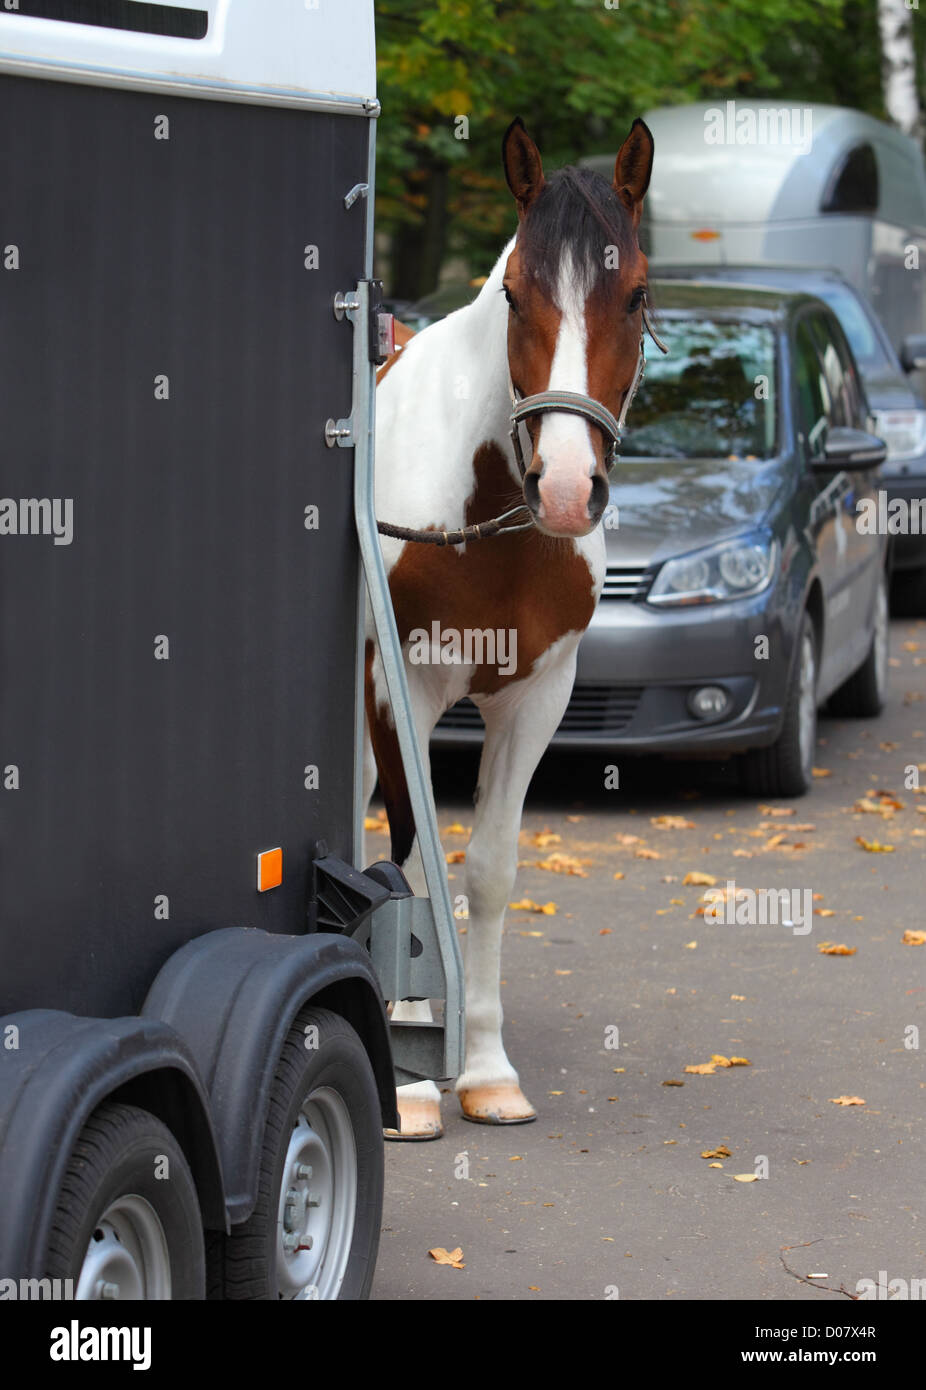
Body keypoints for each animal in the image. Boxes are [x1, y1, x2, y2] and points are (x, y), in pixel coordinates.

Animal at [365, 116, 658, 1138]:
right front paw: (412, 1080)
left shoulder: (537, 695)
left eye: (636, 291)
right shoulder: (399, 687)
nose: (568, 488)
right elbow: (406, 852)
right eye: (515, 294)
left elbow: (487, 871)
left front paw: (484, 1067)